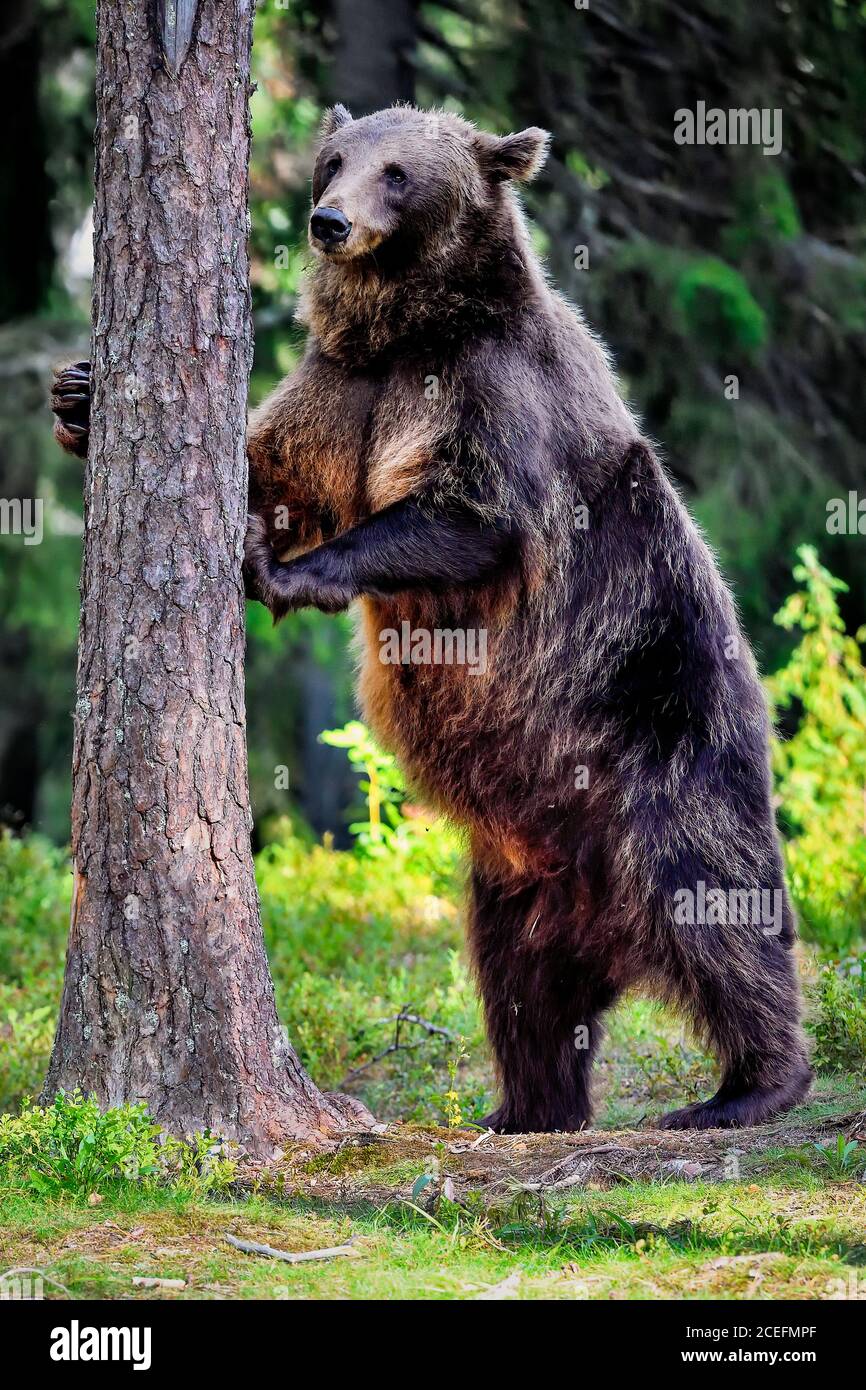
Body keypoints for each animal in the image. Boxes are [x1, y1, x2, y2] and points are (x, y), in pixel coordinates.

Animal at [52, 102, 812, 1134]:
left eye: (400, 172)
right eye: (336, 160)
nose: (330, 221)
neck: (401, 330)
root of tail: (601, 911)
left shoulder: (485, 394)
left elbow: (468, 516)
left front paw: (278, 568)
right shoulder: (341, 391)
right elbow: (275, 469)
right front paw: (82, 395)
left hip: (667, 742)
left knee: (716, 905)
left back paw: (749, 1085)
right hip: (516, 873)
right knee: (523, 989)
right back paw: (523, 1108)